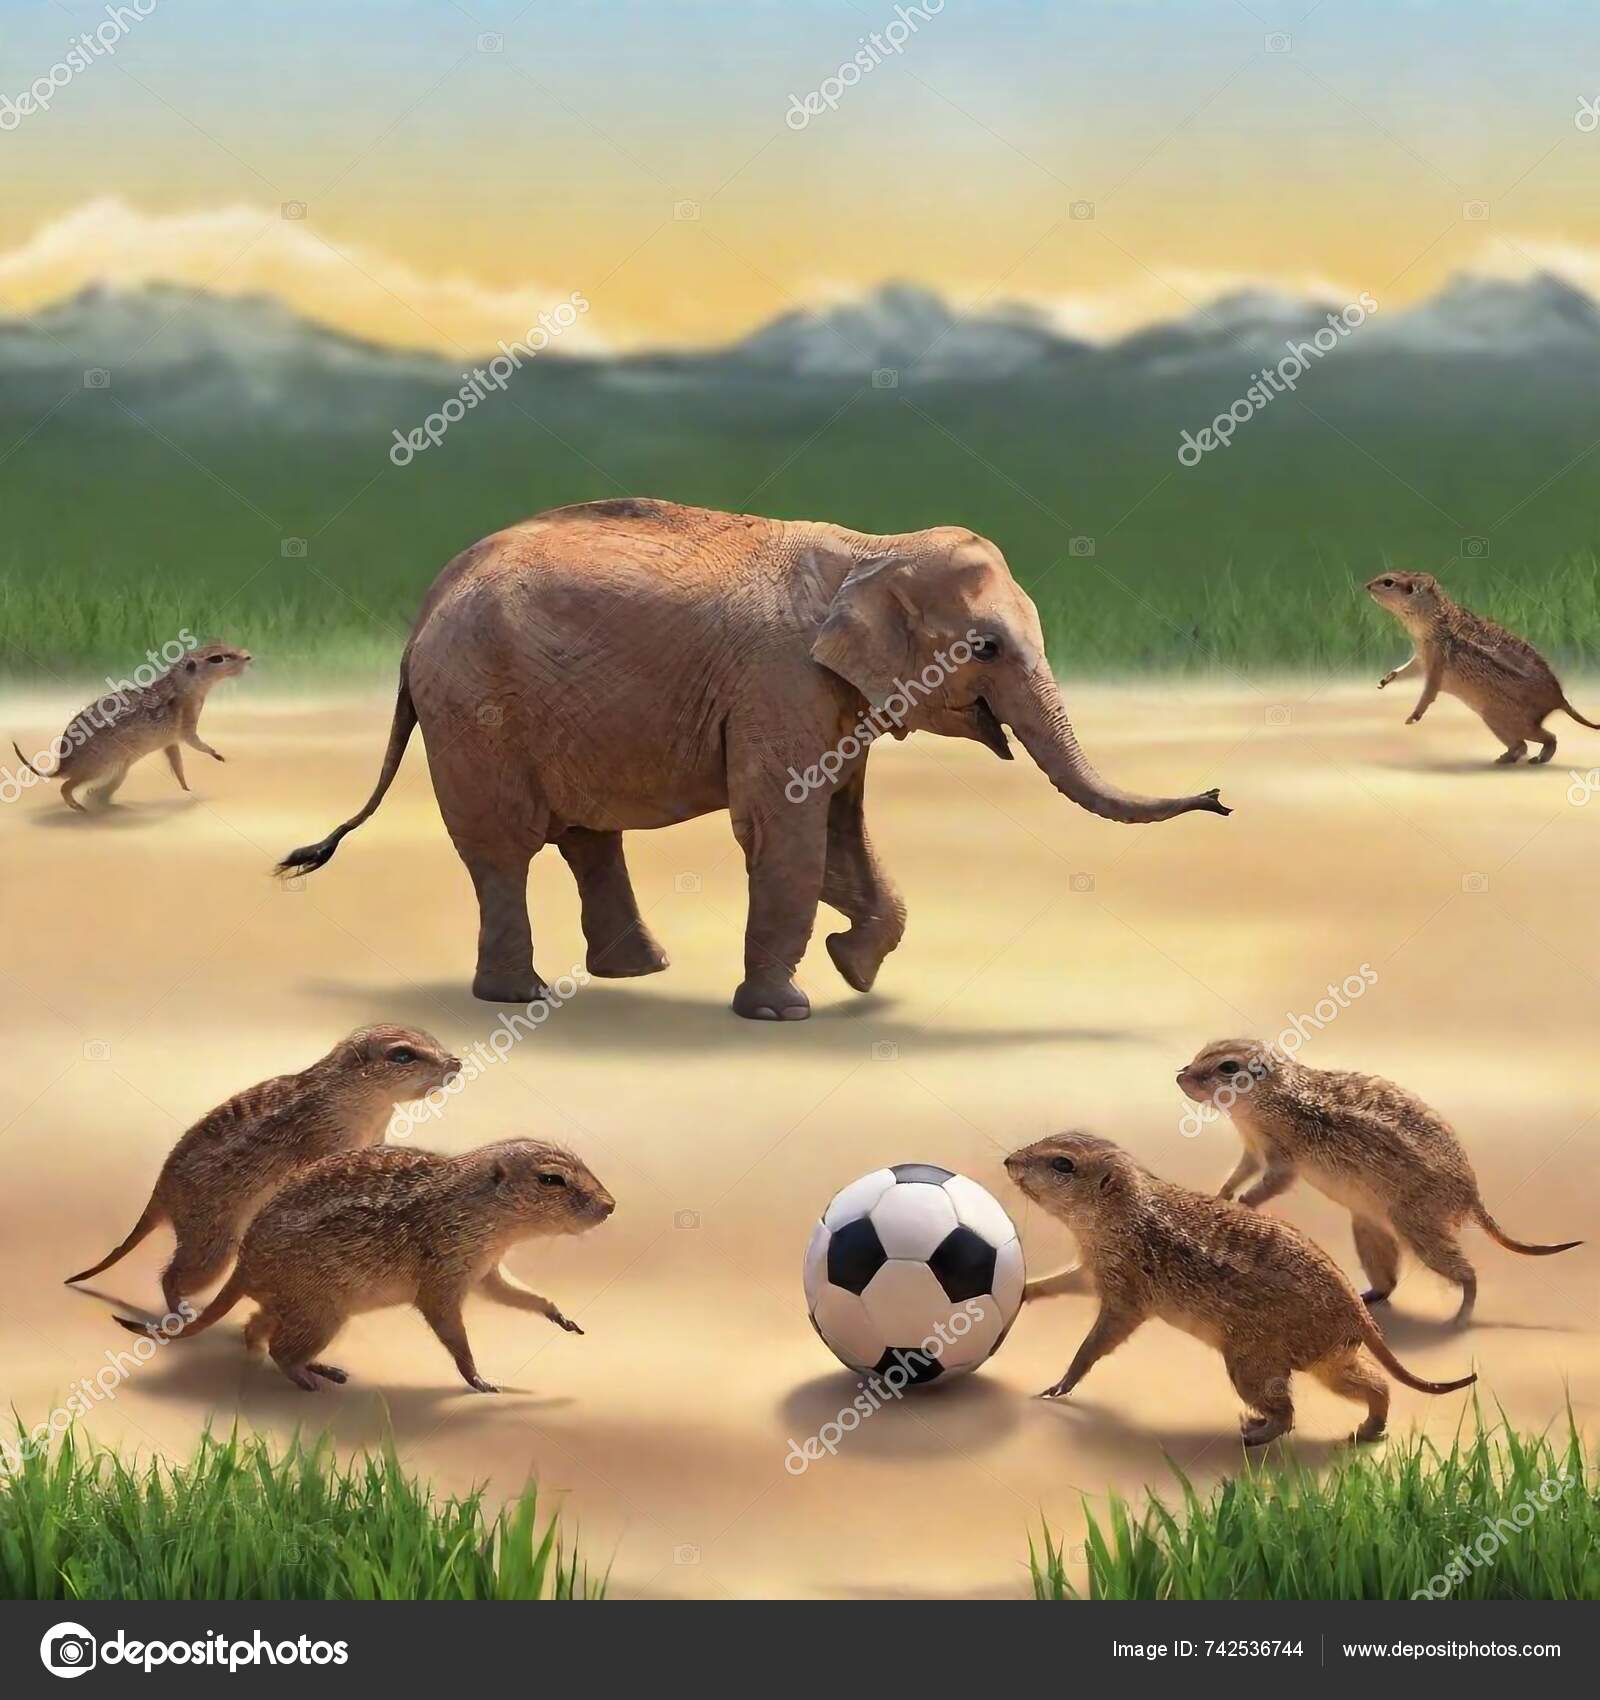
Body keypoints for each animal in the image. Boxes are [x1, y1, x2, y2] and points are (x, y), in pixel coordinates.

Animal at [278, 499, 1229, 1019]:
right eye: (987, 648)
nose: (1220, 798)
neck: (874, 547)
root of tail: (424, 606)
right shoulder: (782, 680)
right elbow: (786, 827)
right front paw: (786, 1011)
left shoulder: (834, 694)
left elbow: (839, 830)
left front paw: (856, 967)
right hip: (476, 706)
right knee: (504, 847)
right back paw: (522, 998)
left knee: (587, 835)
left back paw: (639, 970)